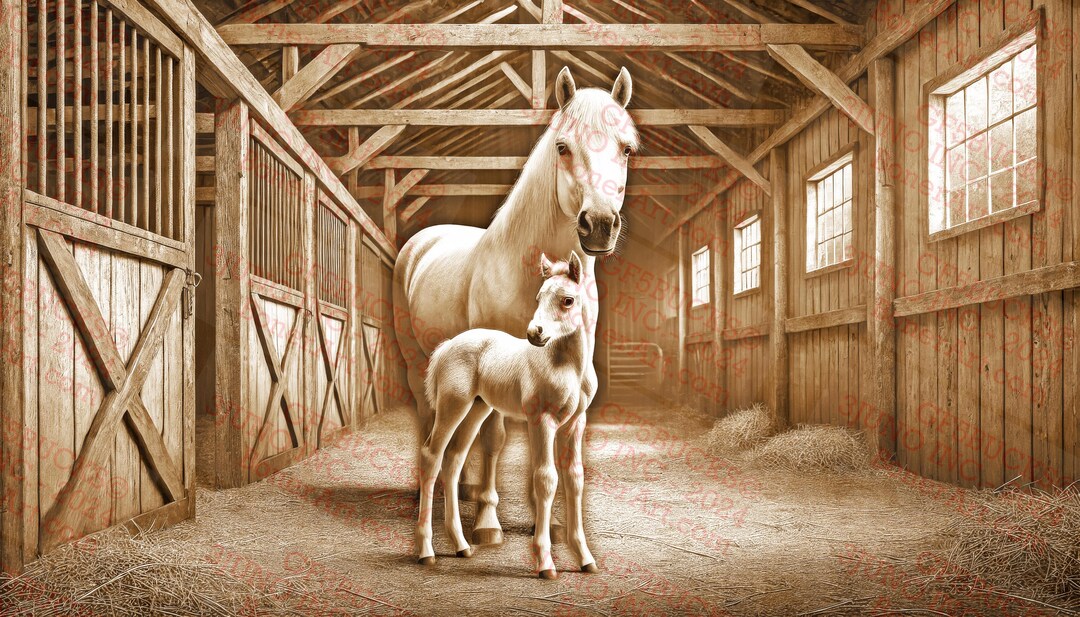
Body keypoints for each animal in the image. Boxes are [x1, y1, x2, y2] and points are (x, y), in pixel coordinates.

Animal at [416, 253, 594, 579]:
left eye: (567, 300)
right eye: (538, 297)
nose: (534, 334)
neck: (567, 367)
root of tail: (447, 345)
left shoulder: (576, 423)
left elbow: (575, 478)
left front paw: (586, 559)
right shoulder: (541, 420)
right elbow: (546, 478)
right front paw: (545, 564)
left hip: (478, 407)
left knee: (454, 459)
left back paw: (461, 546)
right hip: (453, 404)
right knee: (432, 456)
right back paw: (426, 552)